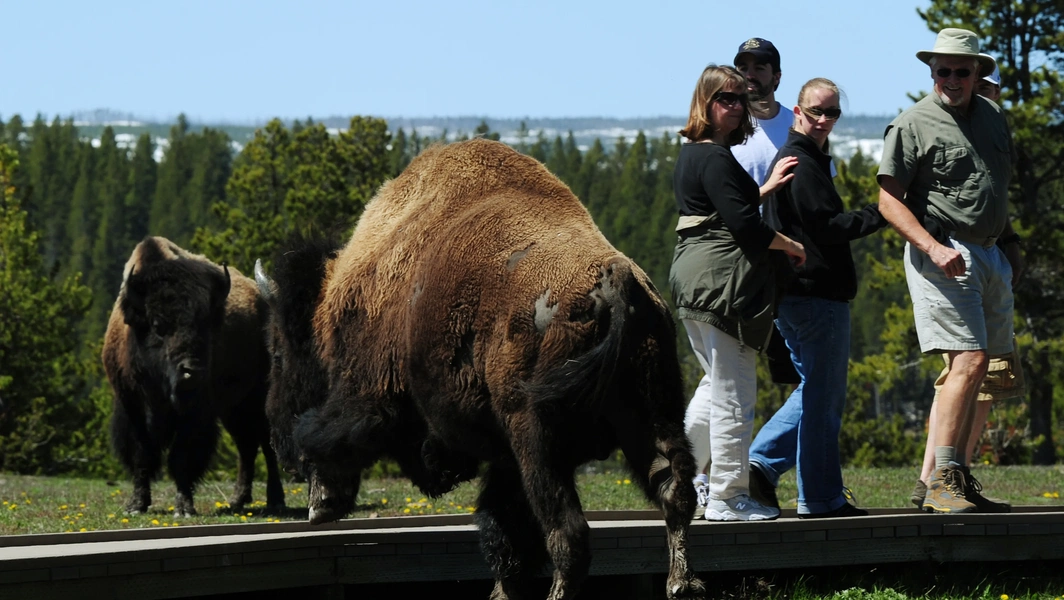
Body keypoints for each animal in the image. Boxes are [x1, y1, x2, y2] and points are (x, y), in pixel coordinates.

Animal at [102, 237, 284, 517]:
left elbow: (182, 458)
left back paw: (275, 500)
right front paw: (136, 505)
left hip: (257, 399)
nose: (192, 371)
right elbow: (141, 455)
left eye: (206, 325)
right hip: (233, 409)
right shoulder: (132, 407)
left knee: (265, 444)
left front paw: (184, 507)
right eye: (157, 325)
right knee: (246, 447)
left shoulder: (196, 413)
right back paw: (238, 500)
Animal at [256, 139, 704, 599]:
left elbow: (335, 434)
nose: (279, 443)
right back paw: (681, 584)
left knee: (567, 531)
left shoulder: (370, 392)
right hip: (654, 413)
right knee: (674, 493)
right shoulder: (505, 458)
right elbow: (503, 525)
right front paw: (503, 589)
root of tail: (614, 280)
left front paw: (320, 501)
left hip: (538, 438)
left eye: (279, 352)